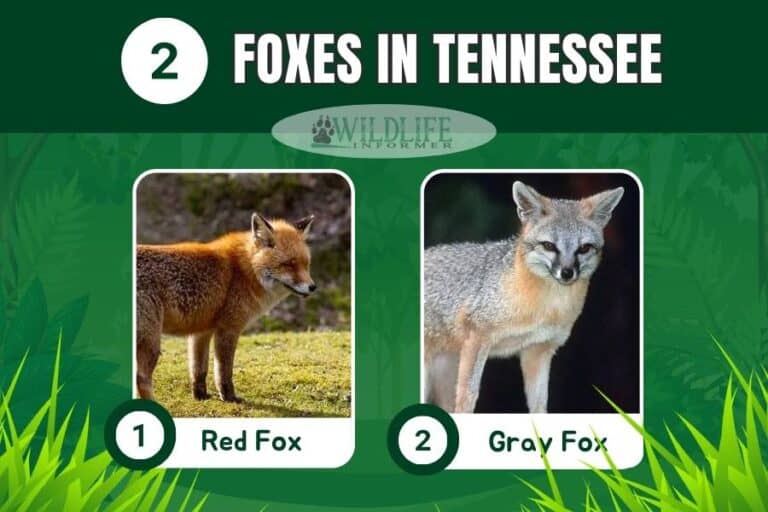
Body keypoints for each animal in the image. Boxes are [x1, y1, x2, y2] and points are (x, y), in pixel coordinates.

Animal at [135, 212, 315, 403]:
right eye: (289, 264)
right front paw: (229, 397)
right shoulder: (228, 328)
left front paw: (200, 396)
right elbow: (224, 371)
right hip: (151, 342)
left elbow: (199, 370)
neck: (246, 270)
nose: (313, 287)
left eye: (306, 264)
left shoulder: (202, 331)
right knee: (141, 378)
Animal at [423, 181, 624, 414]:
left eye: (583, 248)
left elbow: (539, 404)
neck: (547, 307)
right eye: (549, 246)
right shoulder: (476, 337)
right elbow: (468, 396)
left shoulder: (538, 349)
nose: (567, 273)